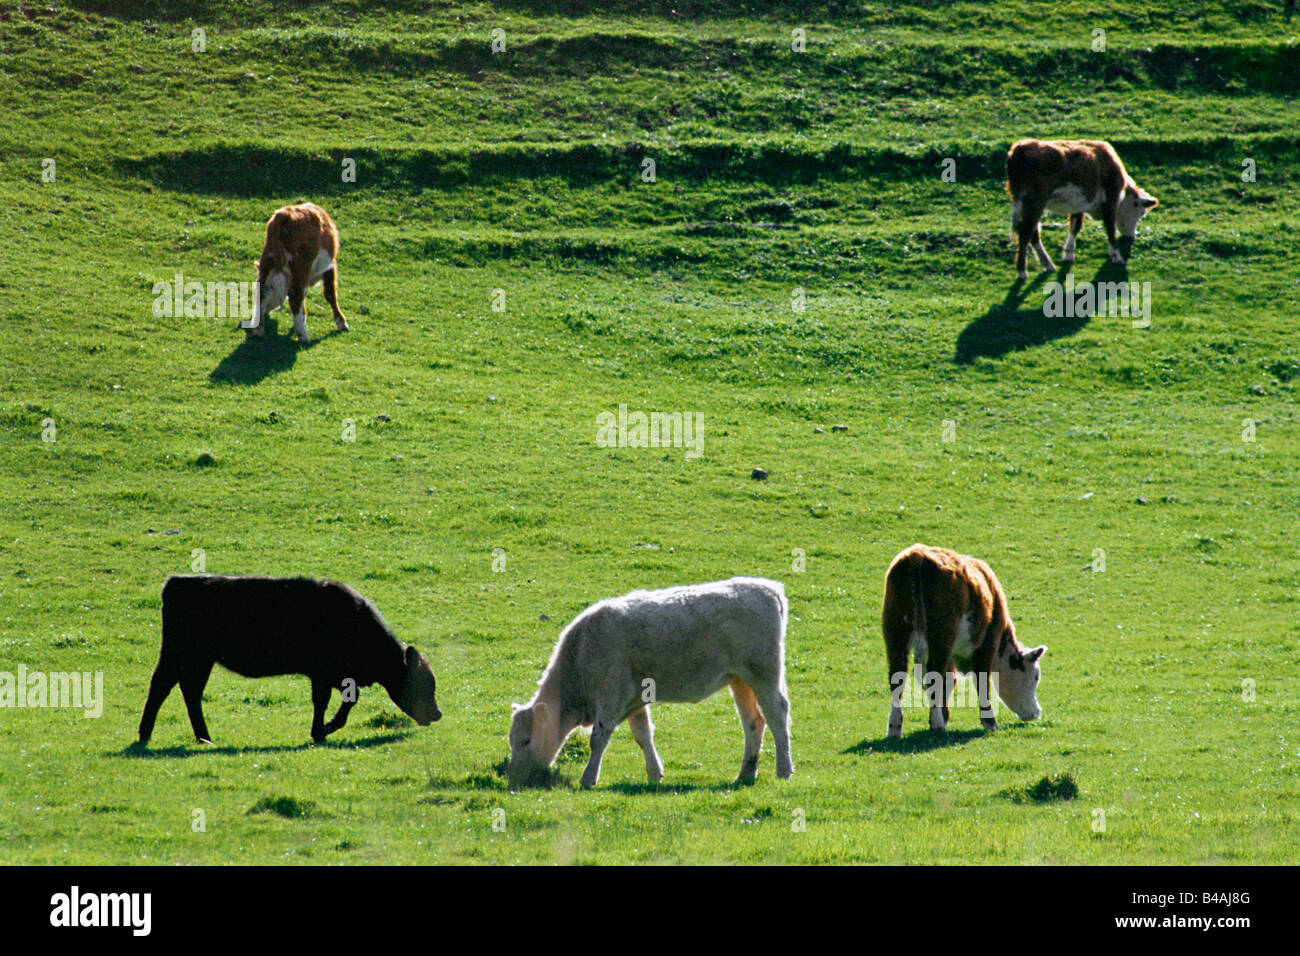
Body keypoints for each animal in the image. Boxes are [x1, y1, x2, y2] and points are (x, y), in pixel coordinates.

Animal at [137, 575, 440, 745]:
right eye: (424, 683)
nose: (437, 714)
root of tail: (176, 582)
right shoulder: (322, 674)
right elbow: (325, 702)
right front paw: (321, 730)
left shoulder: (337, 677)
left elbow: (347, 702)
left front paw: (324, 728)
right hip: (180, 654)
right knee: (162, 685)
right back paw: (146, 734)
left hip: (199, 660)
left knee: (189, 691)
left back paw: (203, 737)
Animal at [248, 202, 348, 344]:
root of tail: (285, 214)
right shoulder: (329, 267)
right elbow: (330, 294)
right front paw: (341, 322)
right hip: (302, 266)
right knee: (296, 295)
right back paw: (303, 336)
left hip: (267, 262)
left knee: (261, 290)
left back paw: (258, 330)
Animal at [508, 577, 794, 788]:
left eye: (526, 740)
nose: (513, 776)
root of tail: (769, 588)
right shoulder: (634, 700)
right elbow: (643, 735)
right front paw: (655, 773)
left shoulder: (611, 696)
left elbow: (598, 738)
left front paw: (588, 778)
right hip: (741, 680)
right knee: (753, 722)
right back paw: (746, 773)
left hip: (765, 675)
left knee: (777, 715)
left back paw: (784, 770)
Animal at [882, 544, 1046, 738]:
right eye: (1035, 677)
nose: (1036, 712)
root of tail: (917, 555)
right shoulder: (987, 643)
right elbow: (981, 681)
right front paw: (989, 722)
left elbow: (948, 681)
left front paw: (943, 715)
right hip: (941, 635)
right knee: (933, 674)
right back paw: (938, 725)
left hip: (896, 631)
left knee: (897, 676)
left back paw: (895, 728)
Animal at [1006, 139, 1158, 279]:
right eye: (1141, 213)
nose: (1132, 236)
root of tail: (1023, 146)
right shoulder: (1110, 202)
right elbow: (1110, 230)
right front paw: (1116, 256)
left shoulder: (1078, 205)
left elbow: (1075, 226)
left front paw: (1068, 253)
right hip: (1035, 203)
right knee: (1026, 232)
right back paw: (1022, 271)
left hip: (1027, 205)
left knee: (1033, 233)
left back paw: (1048, 264)